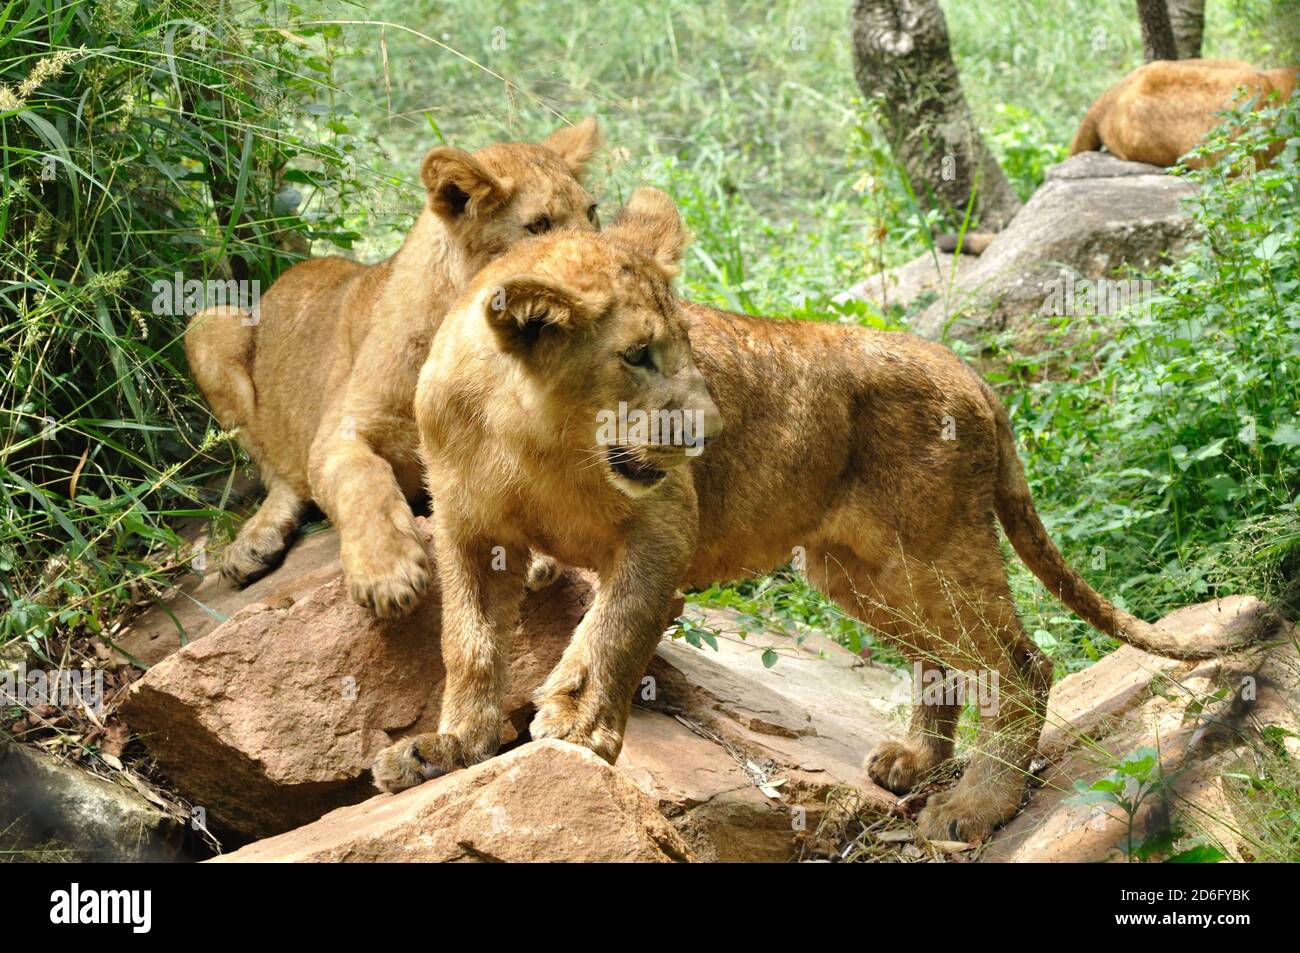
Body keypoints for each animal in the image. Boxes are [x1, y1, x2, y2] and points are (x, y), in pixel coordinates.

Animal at [184, 118, 601, 616]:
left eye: (592, 213)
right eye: (538, 226)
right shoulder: (338, 433)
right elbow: (360, 478)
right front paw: (387, 574)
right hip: (210, 322)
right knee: (278, 471)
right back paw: (253, 543)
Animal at [370, 187, 1269, 842]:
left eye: (684, 341)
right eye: (635, 354)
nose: (709, 428)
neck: (529, 430)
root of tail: (973, 376)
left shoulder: (663, 526)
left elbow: (611, 631)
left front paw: (576, 728)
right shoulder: (468, 531)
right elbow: (468, 646)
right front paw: (449, 746)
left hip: (935, 545)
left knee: (1022, 664)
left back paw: (974, 805)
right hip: (856, 571)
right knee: (946, 658)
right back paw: (917, 760)